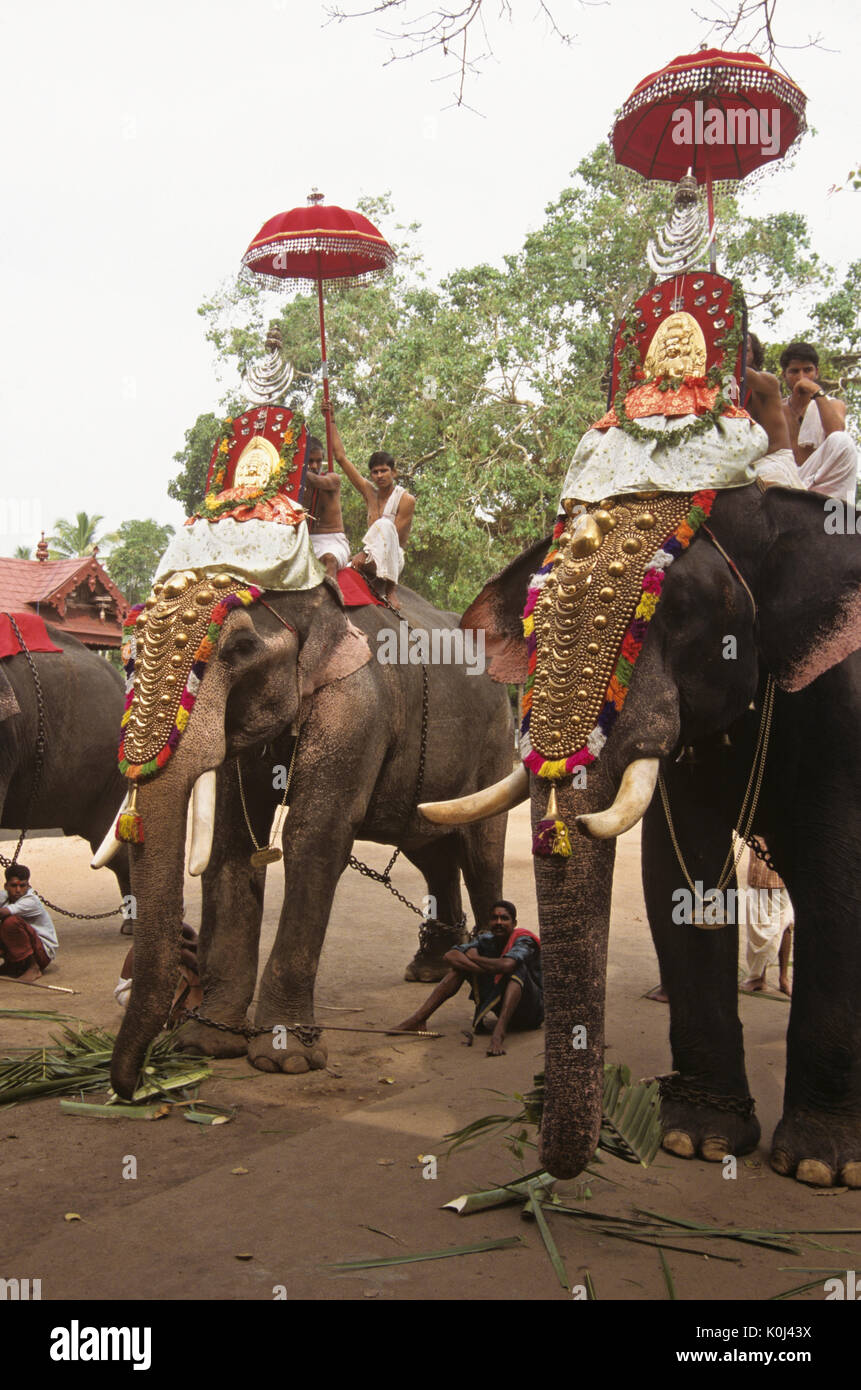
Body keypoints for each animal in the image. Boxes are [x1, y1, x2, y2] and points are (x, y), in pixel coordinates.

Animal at [109, 578, 512, 1098]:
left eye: (242, 648)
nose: (134, 1084)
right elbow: (232, 846)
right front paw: (204, 1045)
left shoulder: (356, 705)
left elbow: (314, 839)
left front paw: (285, 1060)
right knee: (430, 848)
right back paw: (431, 970)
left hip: (497, 740)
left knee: (482, 850)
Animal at [422, 484, 861, 1187]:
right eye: (532, 620)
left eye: (680, 612)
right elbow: (677, 879)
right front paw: (699, 1140)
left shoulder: (840, 705)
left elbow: (838, 882)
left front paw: (821, 1166)